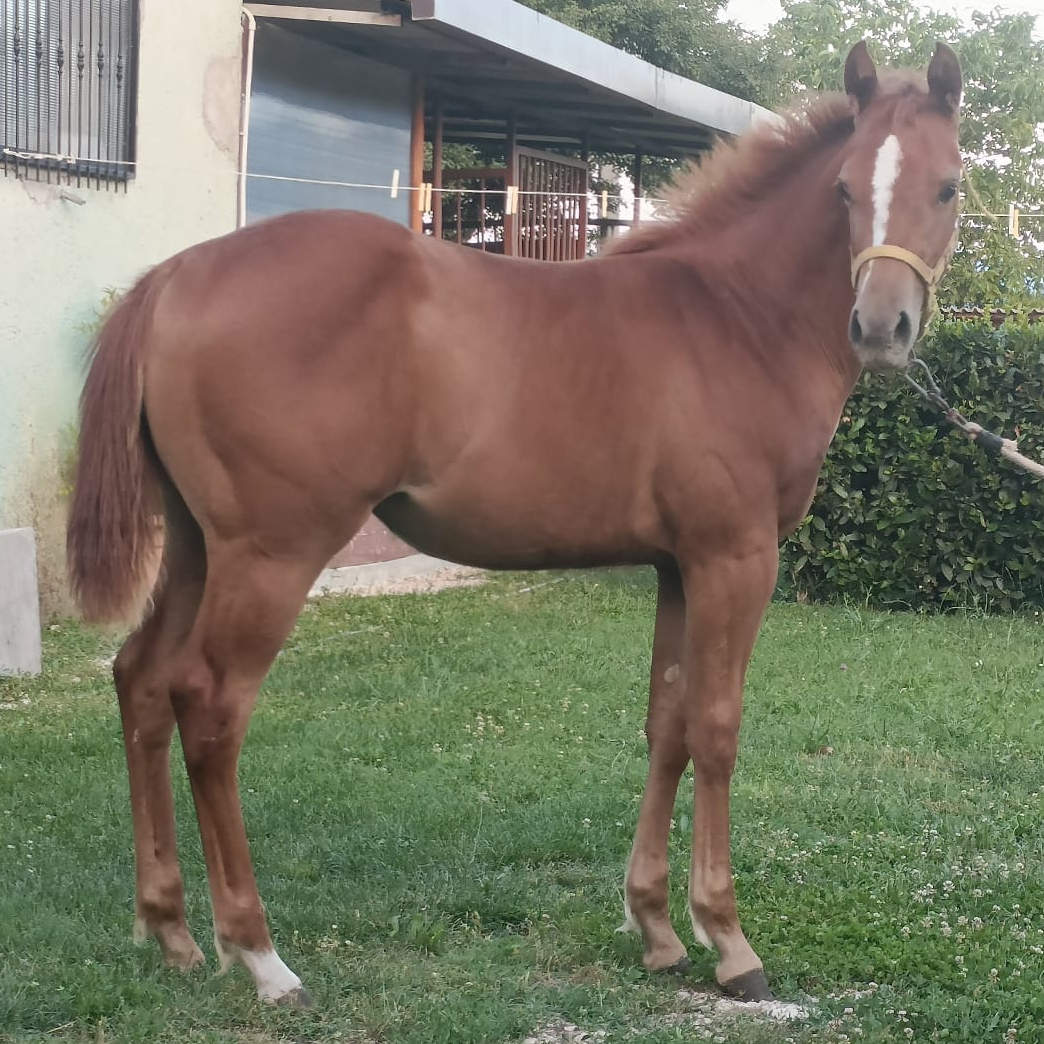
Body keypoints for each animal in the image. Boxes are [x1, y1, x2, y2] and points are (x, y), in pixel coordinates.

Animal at [66, 40, 963, 1007]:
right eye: (843, 189)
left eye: (948, 186)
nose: (881, 328)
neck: (734, 316)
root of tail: (173, 277)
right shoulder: (734, 558)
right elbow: (717, 728)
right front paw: (727, 939)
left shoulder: (676, 564)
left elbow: (668, 723)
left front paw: (655, 929)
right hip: (271, 553)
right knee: (209, 706)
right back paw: (260, 954)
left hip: (198, 547)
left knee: (141, 680)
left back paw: (171, 931)